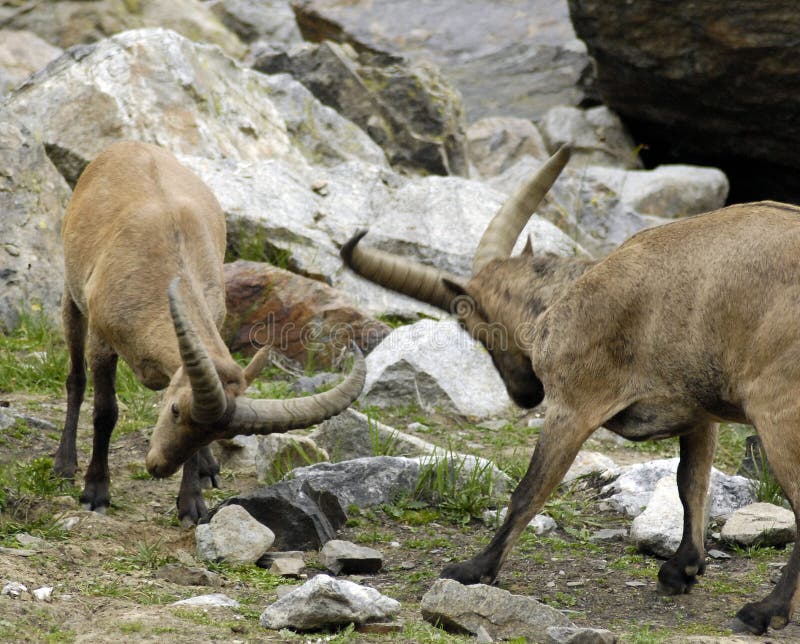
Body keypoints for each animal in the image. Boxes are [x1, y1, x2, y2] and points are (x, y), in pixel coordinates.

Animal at [54, 141, 365, 526]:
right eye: (174, 410)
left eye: (220, 432)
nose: (158, 467)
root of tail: (128, 145)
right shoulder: (102, 340)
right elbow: (105, 412)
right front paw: (95, 492)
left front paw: (192, 503)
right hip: (72, 297)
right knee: (75, 378)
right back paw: (64, 465)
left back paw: (208, 470)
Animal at [341, 146, 800, 635]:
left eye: (473, 327)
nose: (523, 395)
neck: (566, 294)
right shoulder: (697, 413)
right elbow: (690, 483)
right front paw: (681, 570)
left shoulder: (574, 403)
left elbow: (529, 489)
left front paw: (475, 569)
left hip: (777, 412)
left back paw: (765, 611)